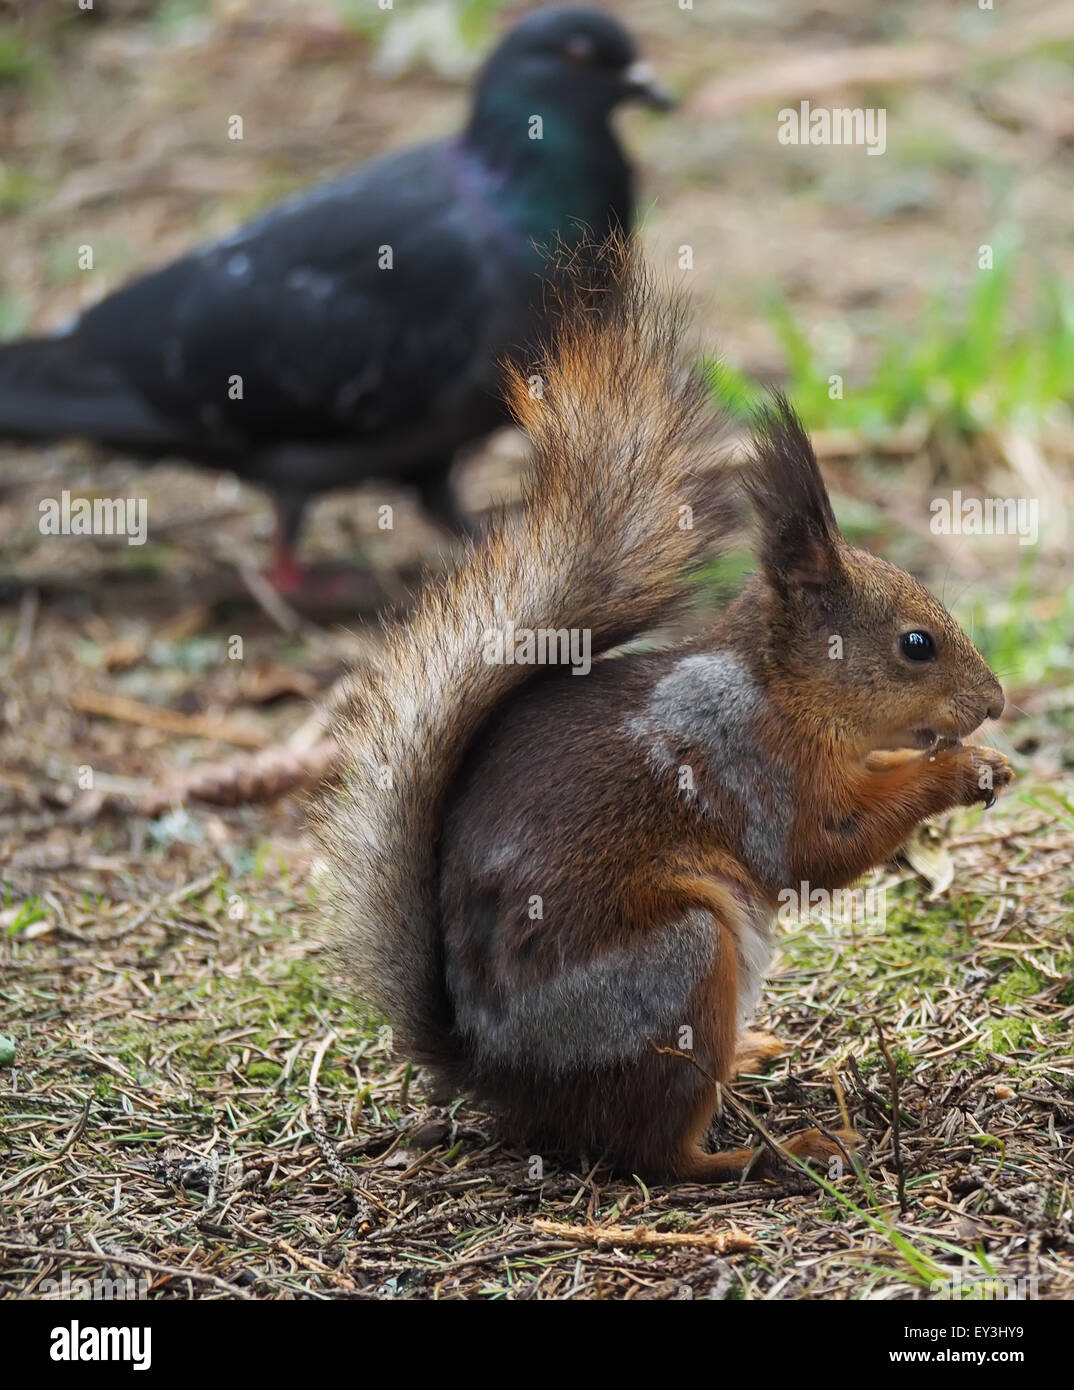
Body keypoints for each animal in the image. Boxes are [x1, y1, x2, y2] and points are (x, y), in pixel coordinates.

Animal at [316, 245, 1013, 1183]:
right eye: (915, 645)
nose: (994, 702)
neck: (781, 691)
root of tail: (503, 1081)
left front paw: (991, 764)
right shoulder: (745, 763)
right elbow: (817, 850)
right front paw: (957, 770)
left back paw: (751, 1055)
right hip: (678, 962)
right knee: (654, 1151)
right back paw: (770, 1154)